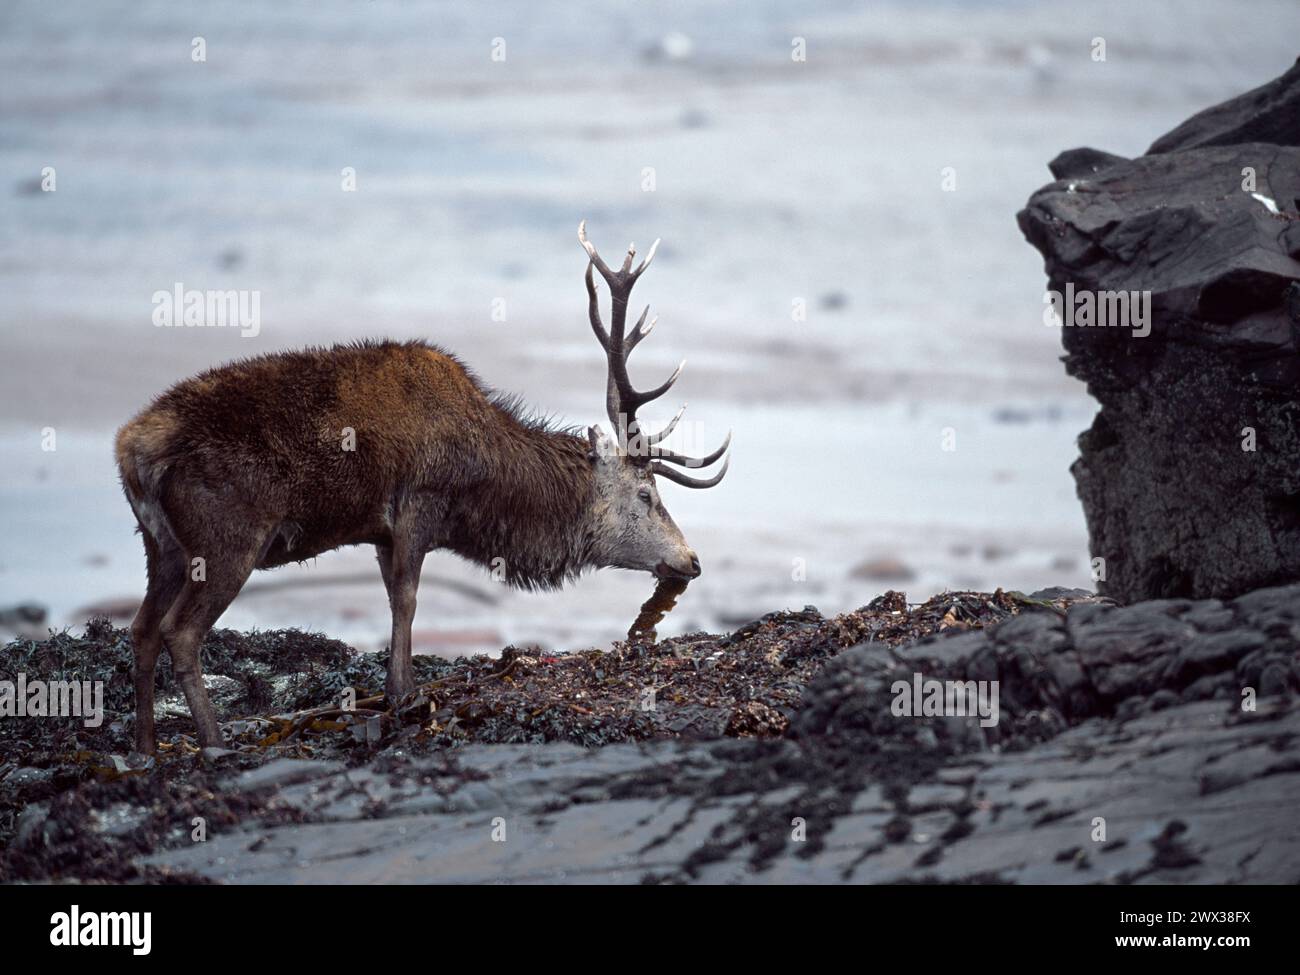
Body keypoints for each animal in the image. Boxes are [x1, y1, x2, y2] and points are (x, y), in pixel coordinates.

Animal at [114, 222, 730, 755]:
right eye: (647, 496)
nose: (693, 560)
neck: (487, 484)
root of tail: (130, 451)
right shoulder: (420, 502)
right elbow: (407, 598)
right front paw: (403, 693)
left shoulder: (381, 530)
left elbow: (393, 595)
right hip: (226, 537)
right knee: (179, 631)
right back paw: (215, 743)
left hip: (160, 545)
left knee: (141, 629)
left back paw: (145, 747)